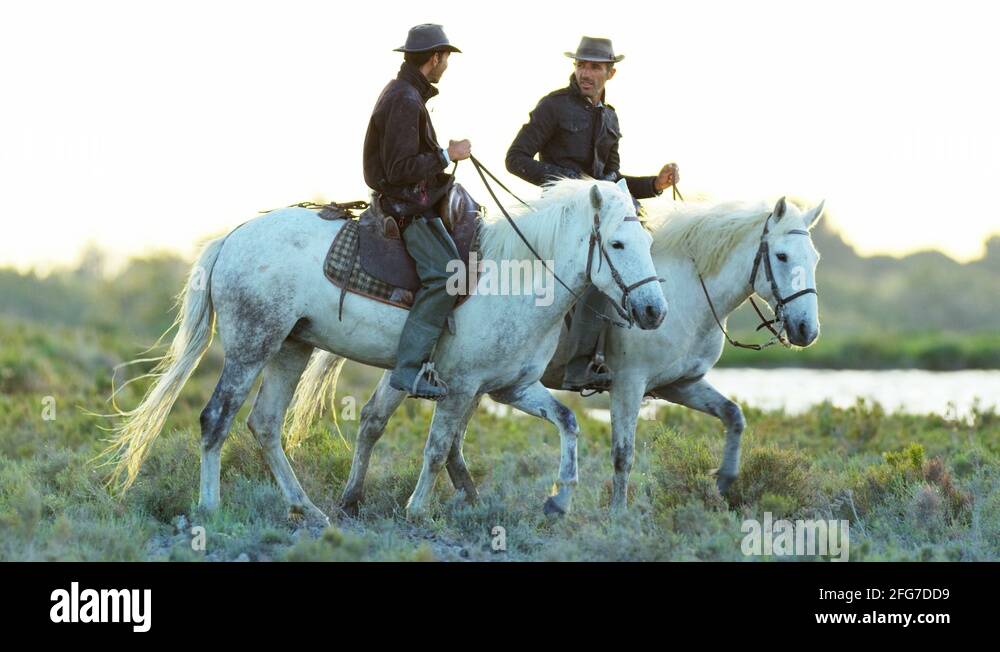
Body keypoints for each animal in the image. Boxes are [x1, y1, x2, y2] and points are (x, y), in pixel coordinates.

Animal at [103, 177, 668, 524]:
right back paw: (210, 509)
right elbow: (438, 449)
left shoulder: (512, 388)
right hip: (251, 346)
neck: (519, 276)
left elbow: (568, 424)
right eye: (617, 245)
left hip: (291, 348)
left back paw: (309, 510)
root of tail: (232, 237)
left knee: (263, 425)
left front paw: (560, 499)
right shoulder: (460, 387)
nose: (653, 311)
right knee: (216, 419)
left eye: (647, 242)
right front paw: (417, 509)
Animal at [285, 195, 825, 514]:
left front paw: (727, 481)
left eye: (815, 258)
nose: (806, 330)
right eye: (781, 256)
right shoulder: (629, 384)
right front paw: (617, 515)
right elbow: (623, 453)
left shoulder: (681, 384)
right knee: (408, 429)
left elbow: (734, 415)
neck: (686, 287)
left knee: (380, 420)